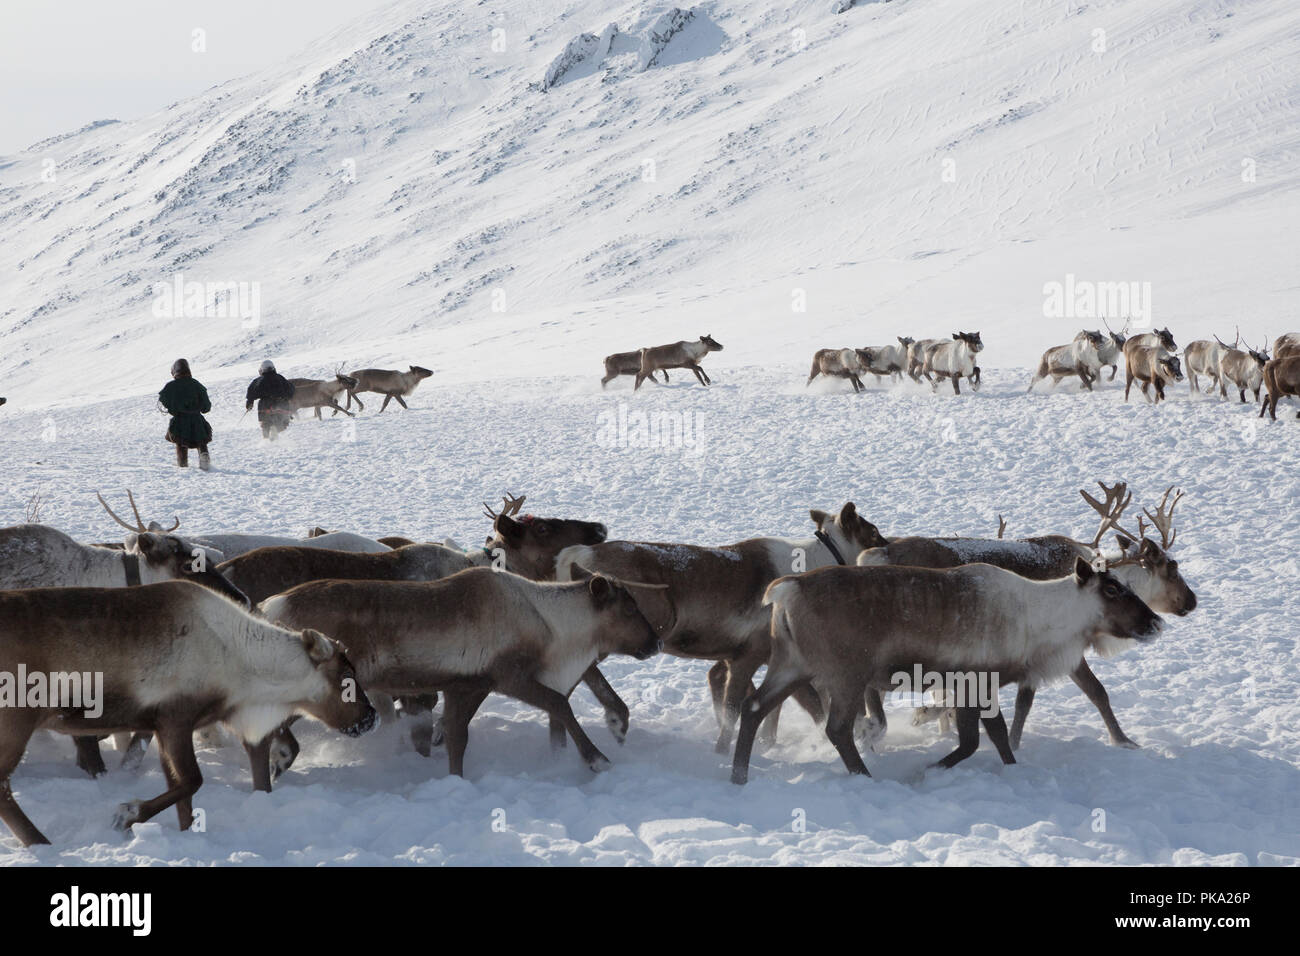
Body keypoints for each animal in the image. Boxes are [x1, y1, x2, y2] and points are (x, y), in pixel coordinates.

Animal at [0, 580, 376, 846]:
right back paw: (40, 844)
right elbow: (193, 780)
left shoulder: (162, 726)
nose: (371, 717)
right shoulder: (175, 719)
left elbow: (182, 793)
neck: (243, 667)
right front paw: (127, 814)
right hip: (17, 719)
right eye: (346, 676)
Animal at [258, 566, 663, 778]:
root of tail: (267, 606)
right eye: (629, 608)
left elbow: (456, 737)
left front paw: (456, 780)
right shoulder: (508, 676)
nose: (656, 641)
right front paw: (597, 759)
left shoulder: (465, 686)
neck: (554, 629)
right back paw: (280, 756)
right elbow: (559, 704)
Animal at [553, 503, 889, 754]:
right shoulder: (748, 656)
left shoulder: (745, 658)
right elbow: (739, 711)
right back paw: (614, 718)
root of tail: (579, 555)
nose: (889, 548)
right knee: (582, 665)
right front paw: (723, 753)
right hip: (638, 627)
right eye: (873, 531)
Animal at [730, 556, 1163, 785]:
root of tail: (785, 591)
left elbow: (998, 736)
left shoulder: (983, 686)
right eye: (1112, 590)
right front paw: (925, 770)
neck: (1039, 627)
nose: (1155, 622)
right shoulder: (972, 681)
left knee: (752, 708)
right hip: (845, 673)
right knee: (836, 729)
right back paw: (866, 776)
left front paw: (1011, 769)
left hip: (790, 664)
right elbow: (971, 742)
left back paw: (739, 776)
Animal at [856, 482, 1196, 750]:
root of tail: (876, 553)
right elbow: (1096, 693)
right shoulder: (1058, 647)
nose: (1192, 601)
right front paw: (1123, 740)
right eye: (1173, 567)